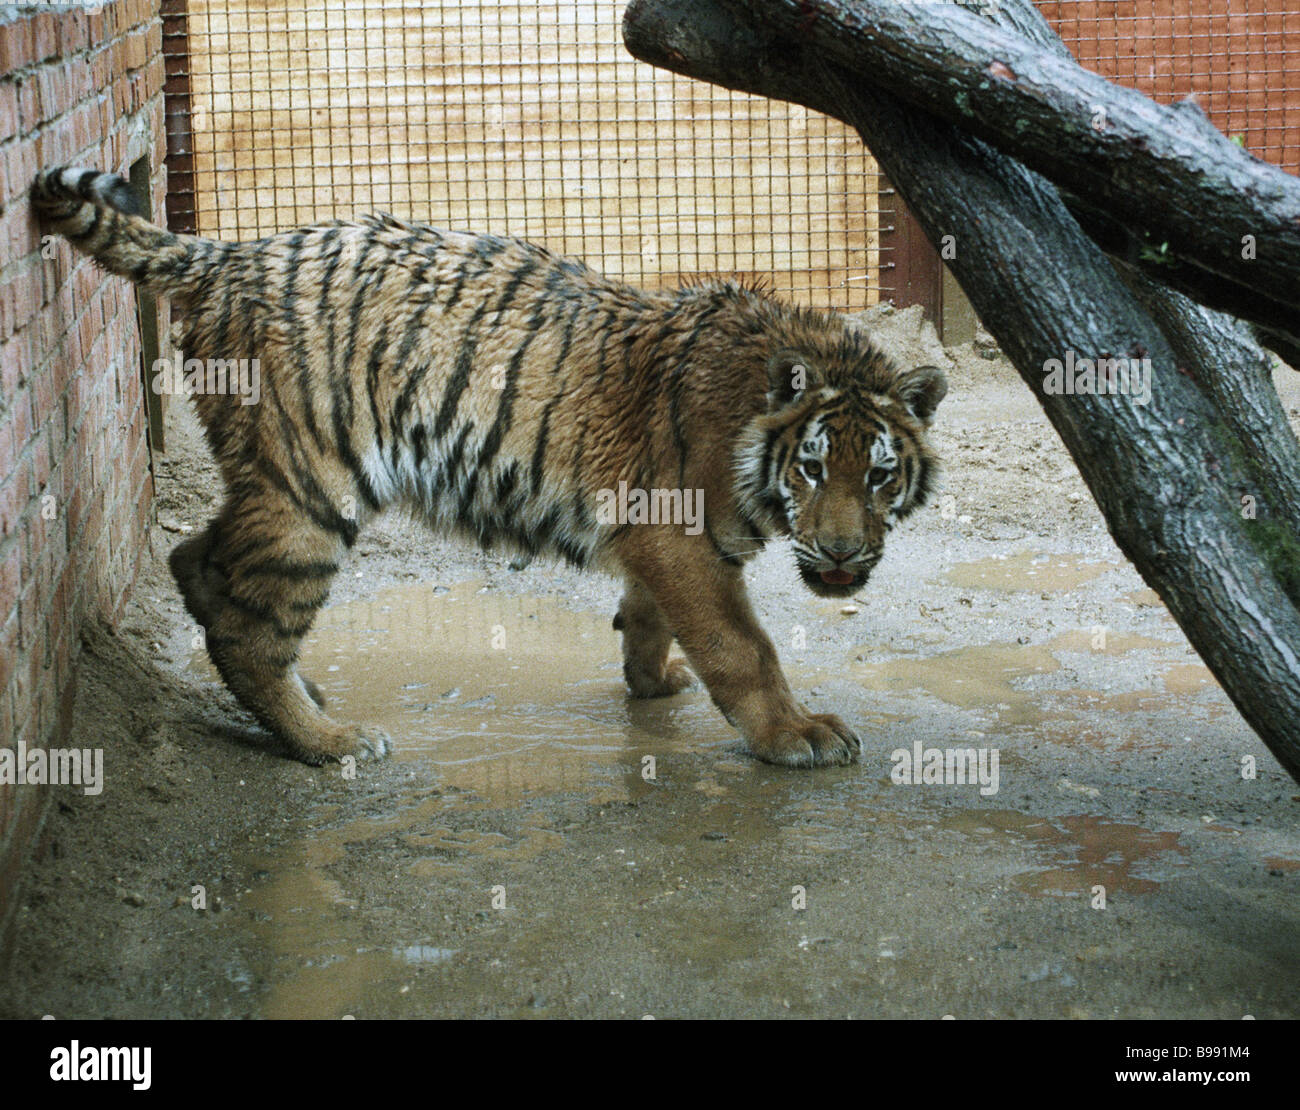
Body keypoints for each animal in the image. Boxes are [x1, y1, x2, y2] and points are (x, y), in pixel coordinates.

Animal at [32, 165, 946, 769]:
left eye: (878, 476)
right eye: (812, 469)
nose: (841, 555)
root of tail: (227, 255)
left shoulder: (657, 541)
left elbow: (649, 616)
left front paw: (650, 681)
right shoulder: (683, 540)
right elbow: (743, 647)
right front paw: (794, 735)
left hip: (271, 478)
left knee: (198, 558)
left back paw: (303, 697)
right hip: (311, 490)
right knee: (249, 629)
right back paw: (330, 740)